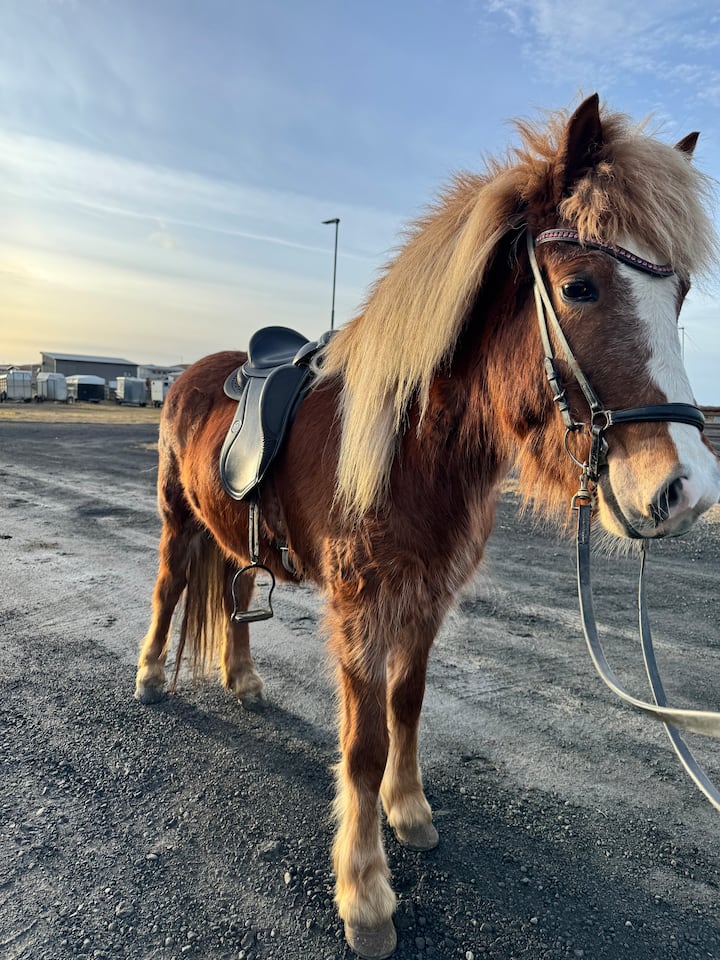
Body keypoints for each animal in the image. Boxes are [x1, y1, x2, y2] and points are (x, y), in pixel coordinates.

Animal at [135, 94, 720, 959]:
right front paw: (365, 893)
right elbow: (363, 742)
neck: (410, 444)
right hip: (178, 520)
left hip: (235, 535)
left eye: (677, 296)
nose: (688, 491)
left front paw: (408, 812)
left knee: (236, 599)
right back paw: (147, 677)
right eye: (580, 286)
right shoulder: (359, 607)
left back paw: (244, 682)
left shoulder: (428, 595)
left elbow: (407, 704)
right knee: (170, 588)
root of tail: (193, 373)